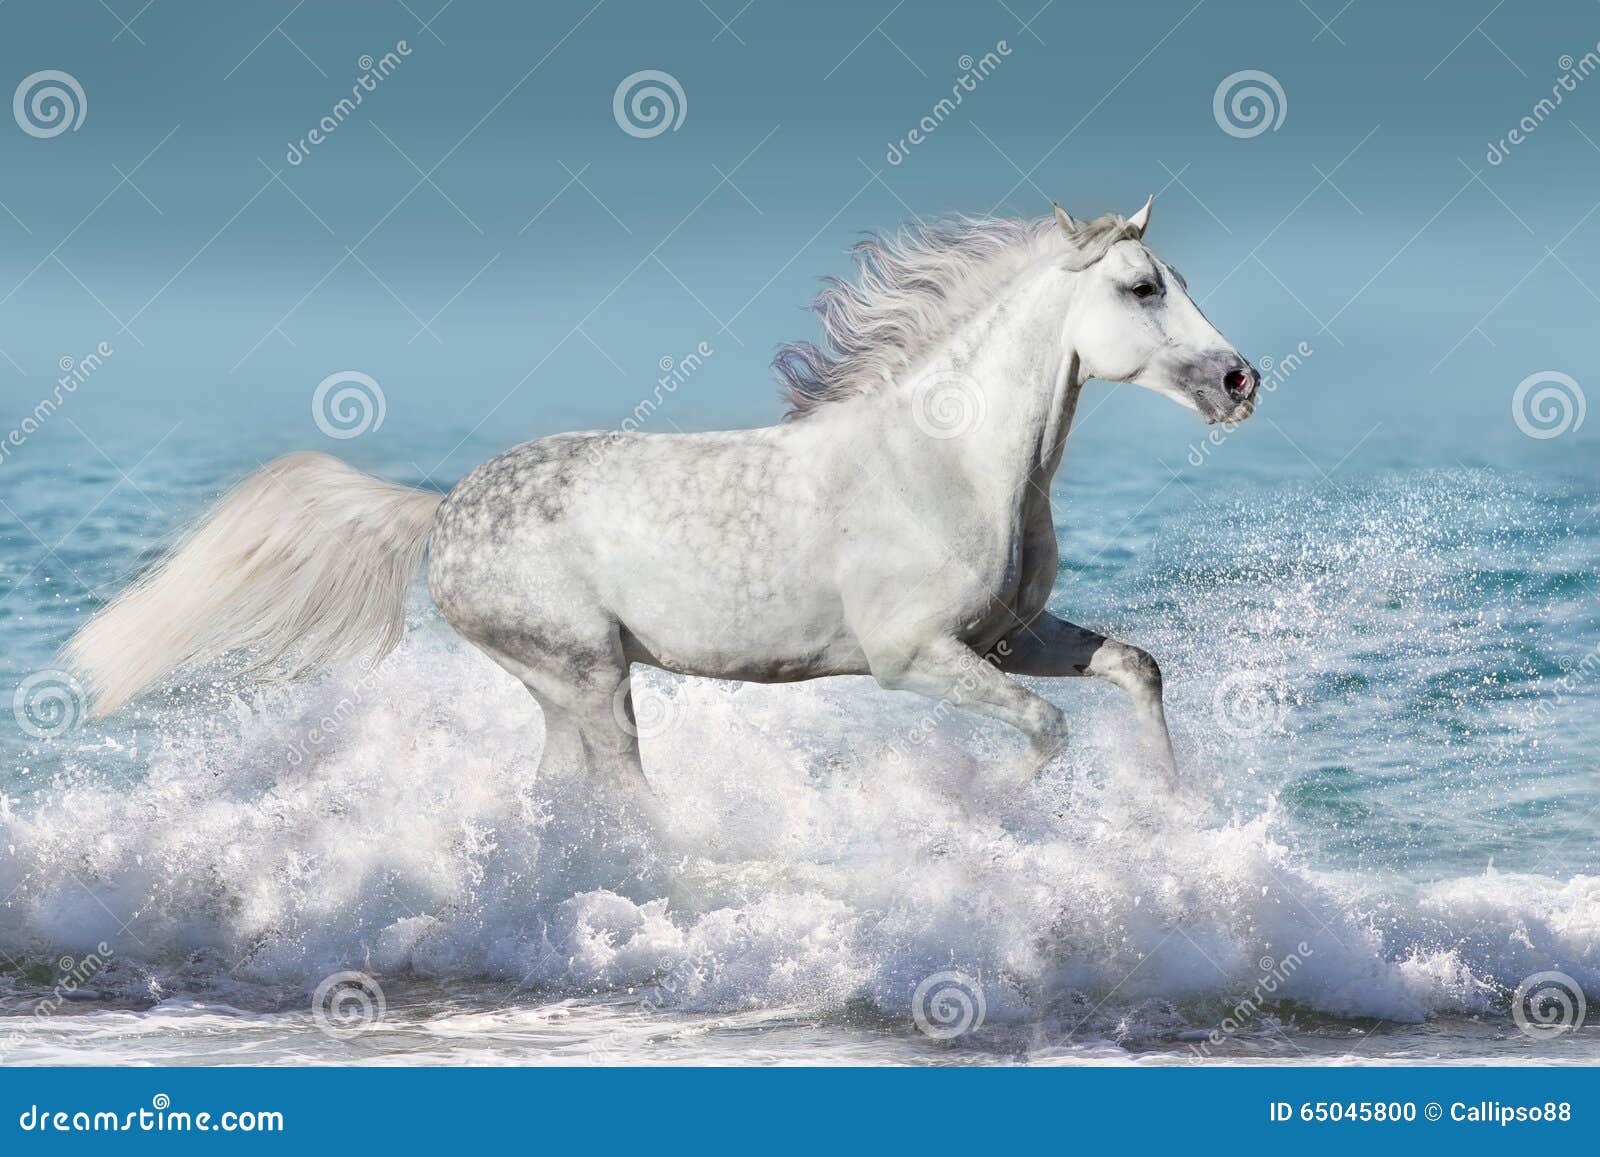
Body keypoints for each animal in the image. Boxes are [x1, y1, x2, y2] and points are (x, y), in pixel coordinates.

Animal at [64, 197, 1258, 824]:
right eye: (1142, 287)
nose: (1240, 380)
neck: (949, 461)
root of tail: (440, 510)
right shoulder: (912, 655)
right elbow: (1046, 730)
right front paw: (970, 808)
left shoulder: (1009, 636)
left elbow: (1134, 667)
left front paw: (1171, 805)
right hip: (589, 673)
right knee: (629, 796)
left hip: (565, 690)